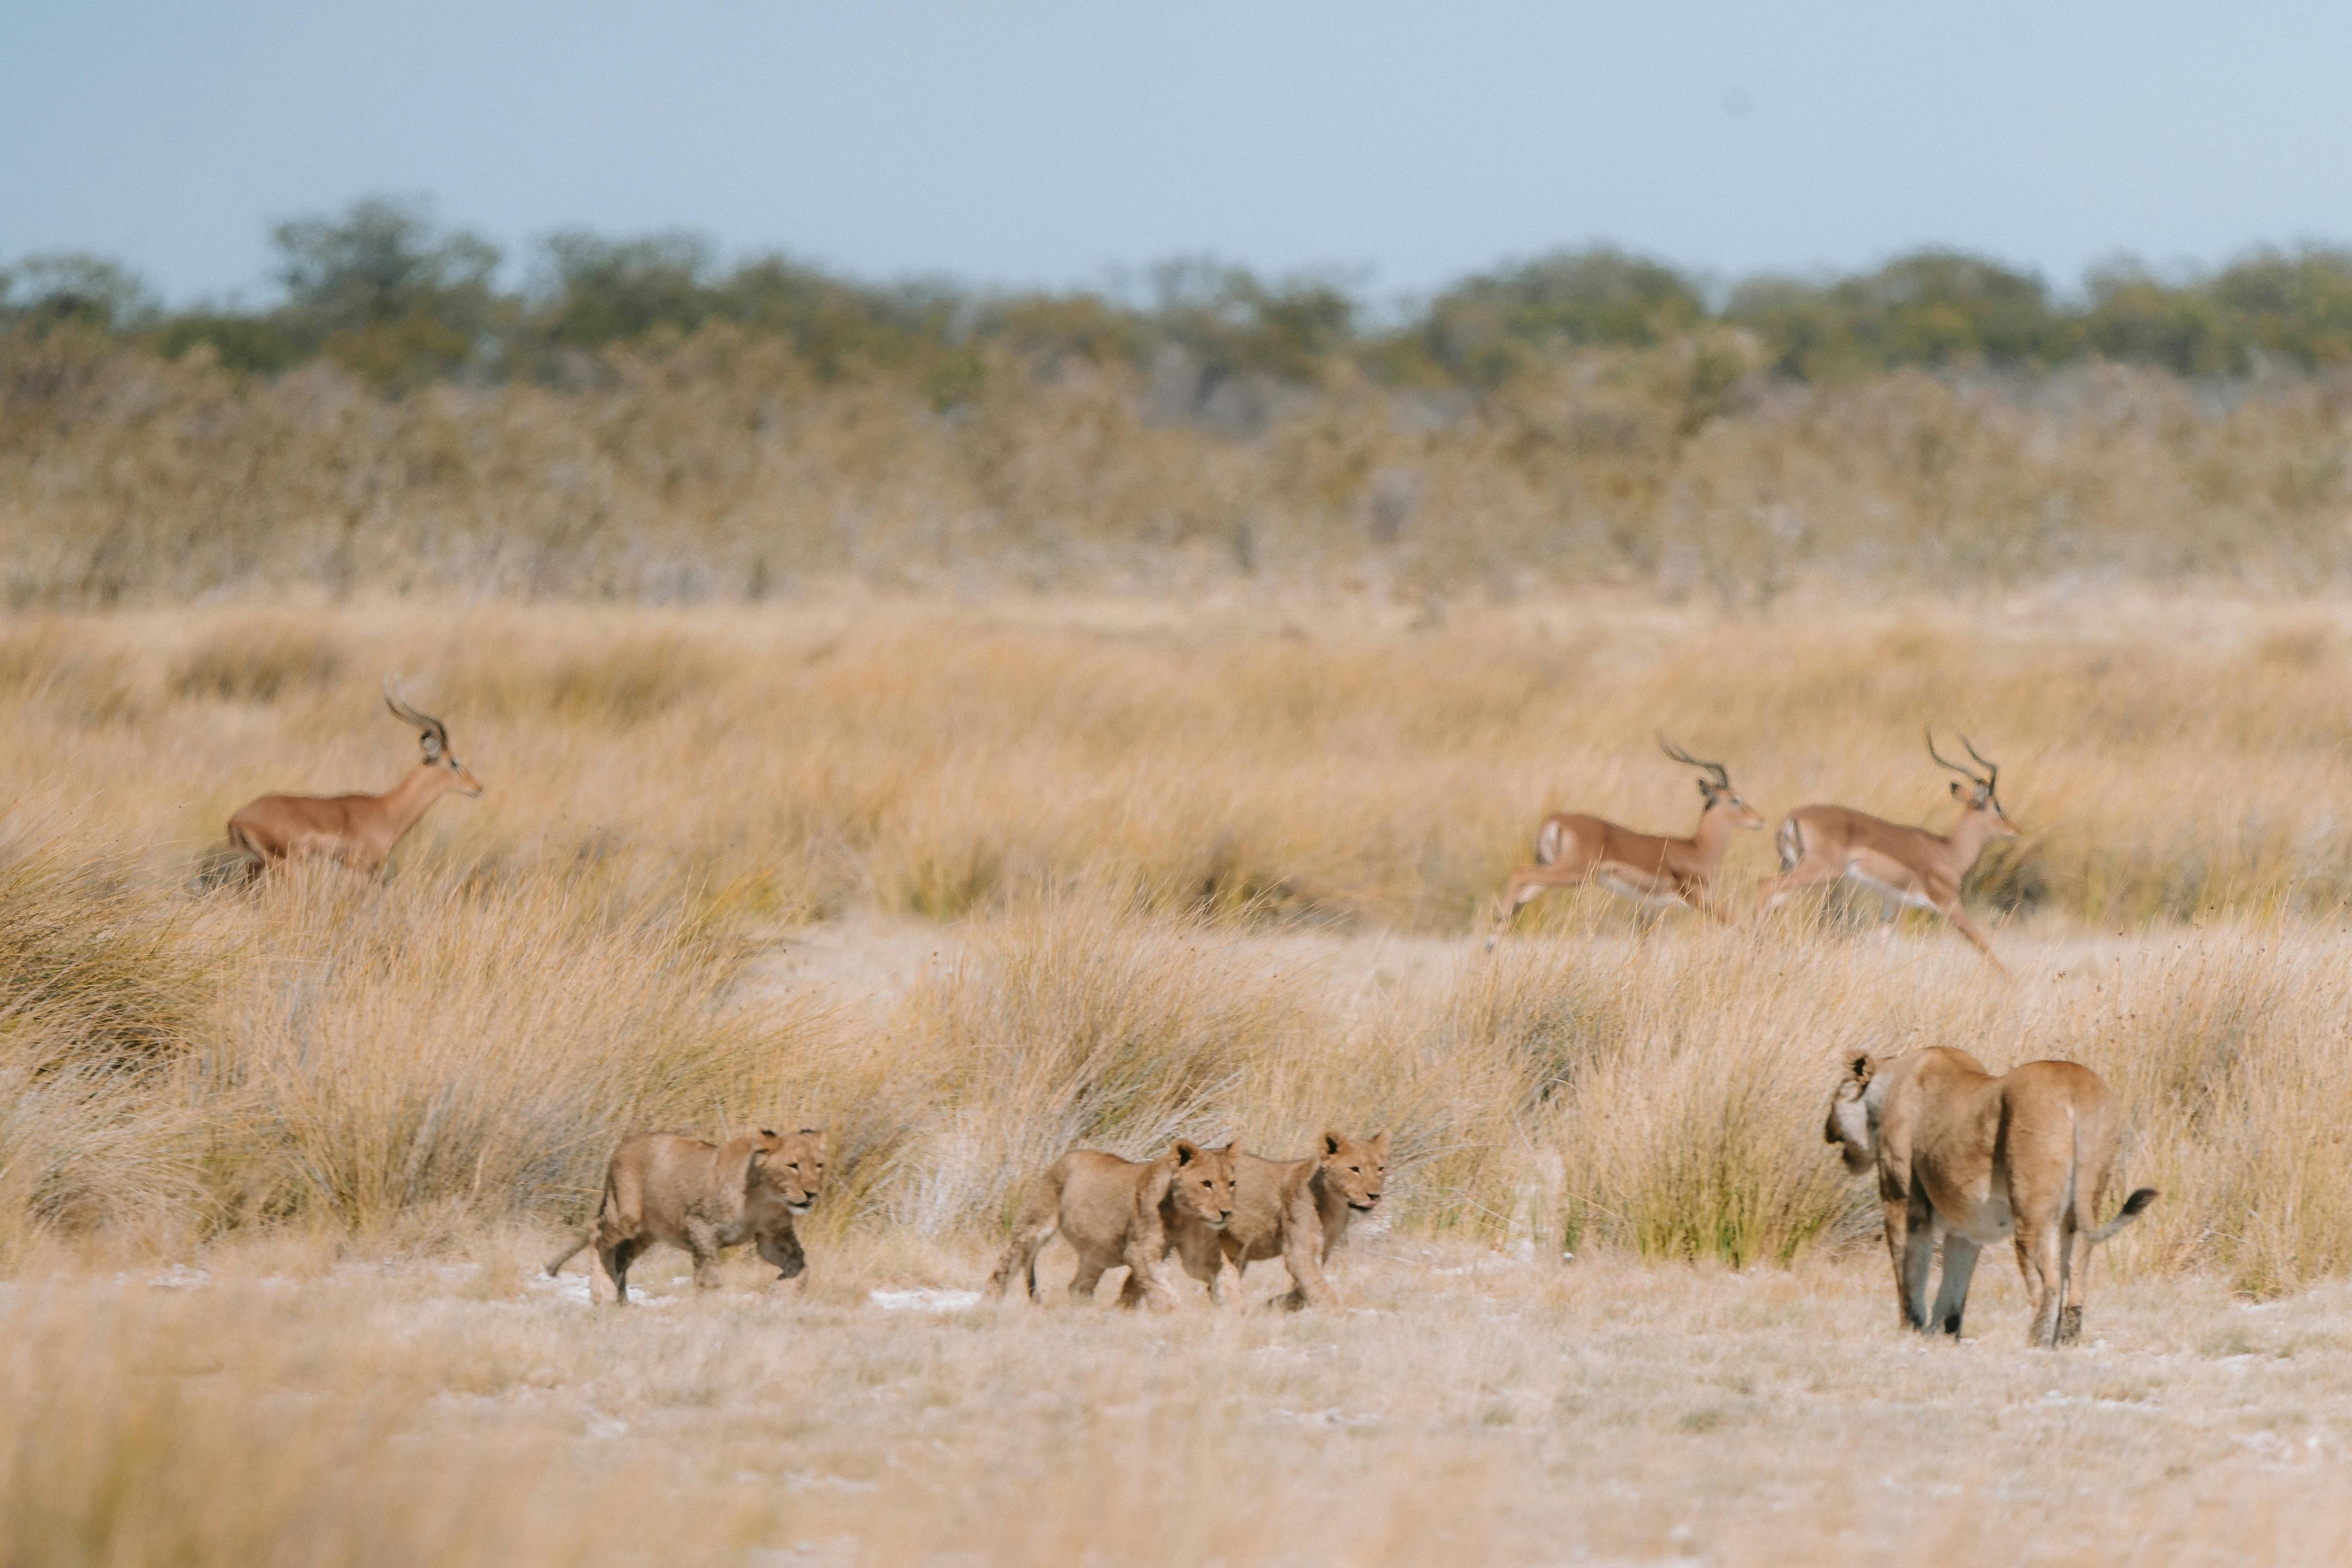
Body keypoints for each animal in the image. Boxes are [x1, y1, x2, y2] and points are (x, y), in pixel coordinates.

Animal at [544, 1127, 828, 1305]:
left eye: (819, 1165)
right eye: (793, 1166)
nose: (812, 1194)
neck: (766, 1197)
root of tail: (624, 1143)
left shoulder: (772, 1237)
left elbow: (800, 1265)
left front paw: (778, 1297)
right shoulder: (700, 1225)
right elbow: (711, 1276)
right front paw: (711, 1309)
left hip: (648, 1231)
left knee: (621, 1256)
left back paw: (621, 1300)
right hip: (626, 1215)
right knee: (596, 1234)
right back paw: (602, 1293)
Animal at [985, 1139, 1236, 1309]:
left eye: (1232, 1183)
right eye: (1206, 1184)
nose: (1227, 1213)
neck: (1186, 1216)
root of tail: (1064, 1158)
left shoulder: (1199, 1255)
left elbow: (1223, 1277)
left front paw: (1232, 1313)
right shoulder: (1139, 1251)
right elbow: (1162, 1292)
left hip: (1096, 1253)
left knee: (1078, 1287)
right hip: (1034, 1226)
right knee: (1005, 1268)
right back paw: (989, 1305)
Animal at [1164, 1130, 1388, 1311]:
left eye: (1380, 1169)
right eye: (1355, 1169)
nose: (1375, 1196)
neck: (1337, 1205)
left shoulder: (1320, 1252)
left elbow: (1306, 1288)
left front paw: (1275, 1305)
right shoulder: (1298, 1253)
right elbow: (1323, 1290)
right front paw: (1343, 1319)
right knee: (1219, 1280)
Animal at [1825, 1048, 2156, 1347]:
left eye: (1836, 1095)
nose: (1826, 1132)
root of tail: (2078, 1085)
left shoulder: (1903, 1204)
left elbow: (1910, 1271)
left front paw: (1912, 1330)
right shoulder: (1967, 1226)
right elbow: (1954, 1284)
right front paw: (1943, 1334)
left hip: (2032, 1213)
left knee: (2048, 1283)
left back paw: (2037, 1341)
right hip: (2083, 1206)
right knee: (2076, 1276)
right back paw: (2066, 1340)